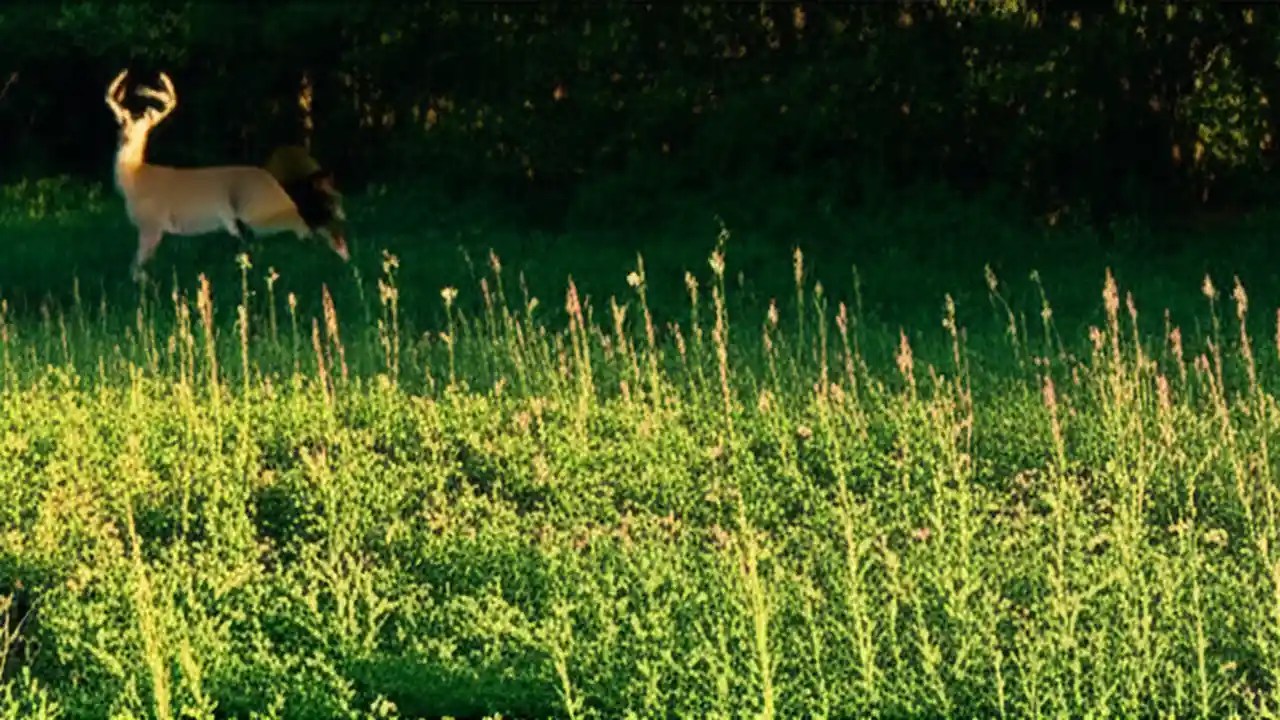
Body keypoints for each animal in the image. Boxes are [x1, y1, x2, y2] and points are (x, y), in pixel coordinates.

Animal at [105, 69, 350, 282]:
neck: (135, 179)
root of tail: (277, 187)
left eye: (144, 128)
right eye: (122, 123)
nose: (126, 138)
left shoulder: (151, 224)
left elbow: (135, 268)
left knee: (305, 230)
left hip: (258, 213)